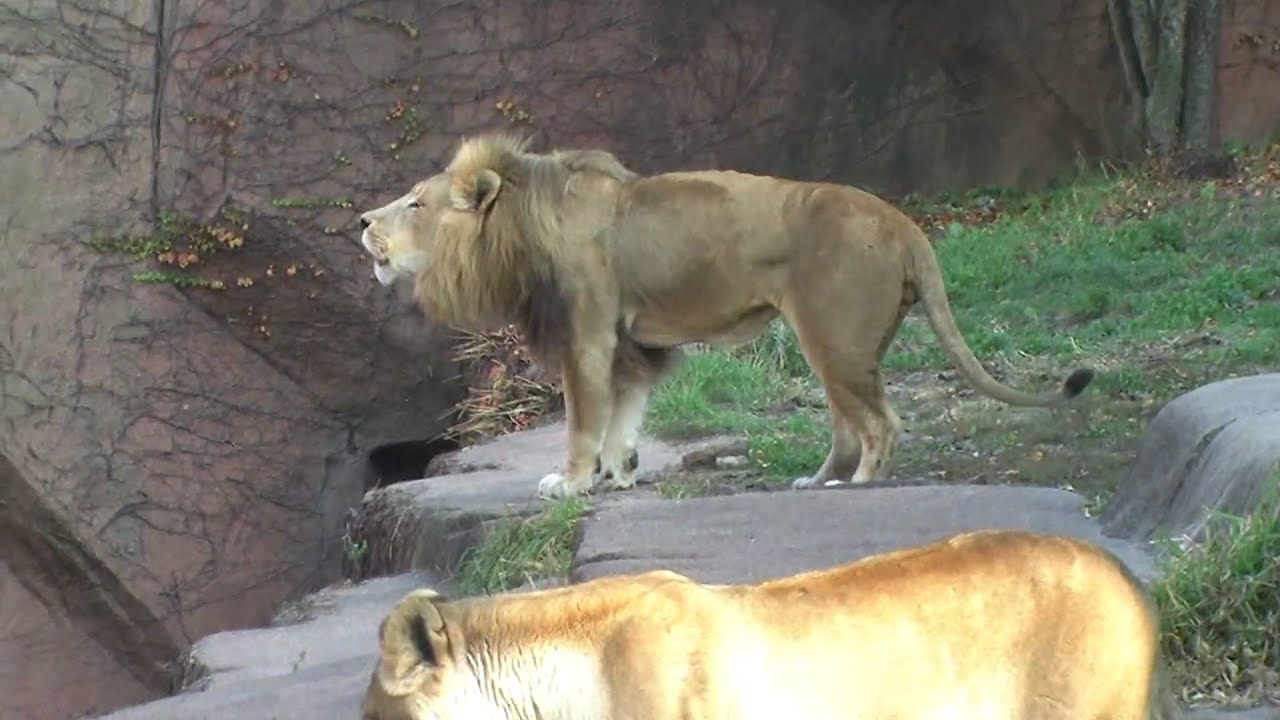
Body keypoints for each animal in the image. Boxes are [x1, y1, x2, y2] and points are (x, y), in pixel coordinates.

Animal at [358, 133, 1094, 498]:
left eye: (416, 203)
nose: (363, 220)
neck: (521, 226)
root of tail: (902, 222)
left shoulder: (587, 336)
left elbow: (583, 421)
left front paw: (570, 484)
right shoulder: (632, 344)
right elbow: (623, 415)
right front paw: (619, 474)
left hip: (834, 336)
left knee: (882, 423)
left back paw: (856, 487)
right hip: (838, 344)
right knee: (849, 425)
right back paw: (817, 482)